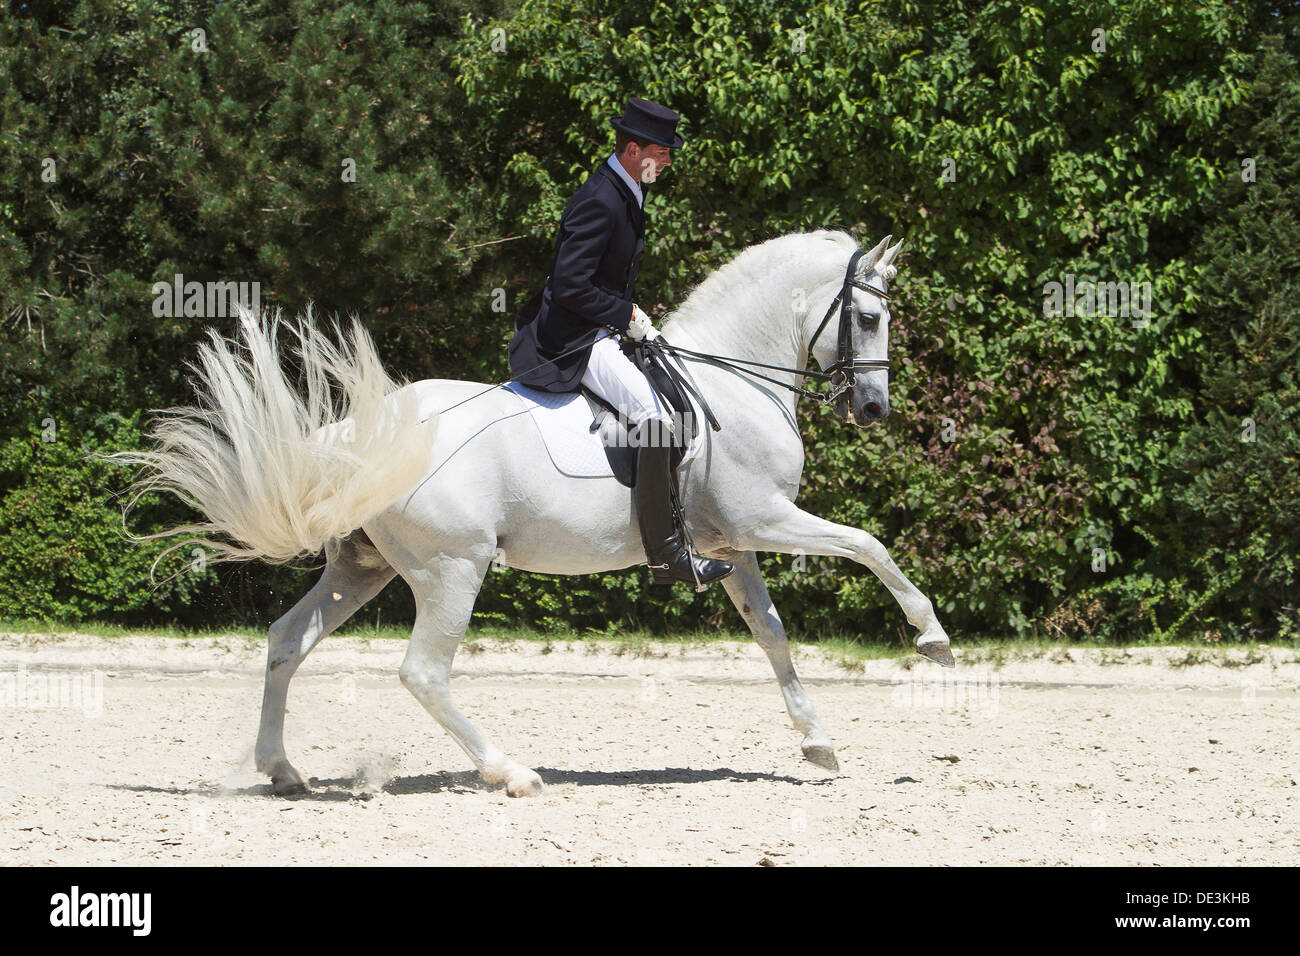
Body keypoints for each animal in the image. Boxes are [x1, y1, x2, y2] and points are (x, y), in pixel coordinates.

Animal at [112, 229, 953, 798]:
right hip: (453, 569)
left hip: (363, 567)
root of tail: (363, 436)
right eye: (870, 320)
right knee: (423, 672)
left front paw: (818, 744)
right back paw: (509, 772)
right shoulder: (763, 520)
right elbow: (869, 544)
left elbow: (774, 638)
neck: (731, 380)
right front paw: (932, 638)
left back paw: (284, 770)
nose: (872, 410)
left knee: (287, 641)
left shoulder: (731, 544)